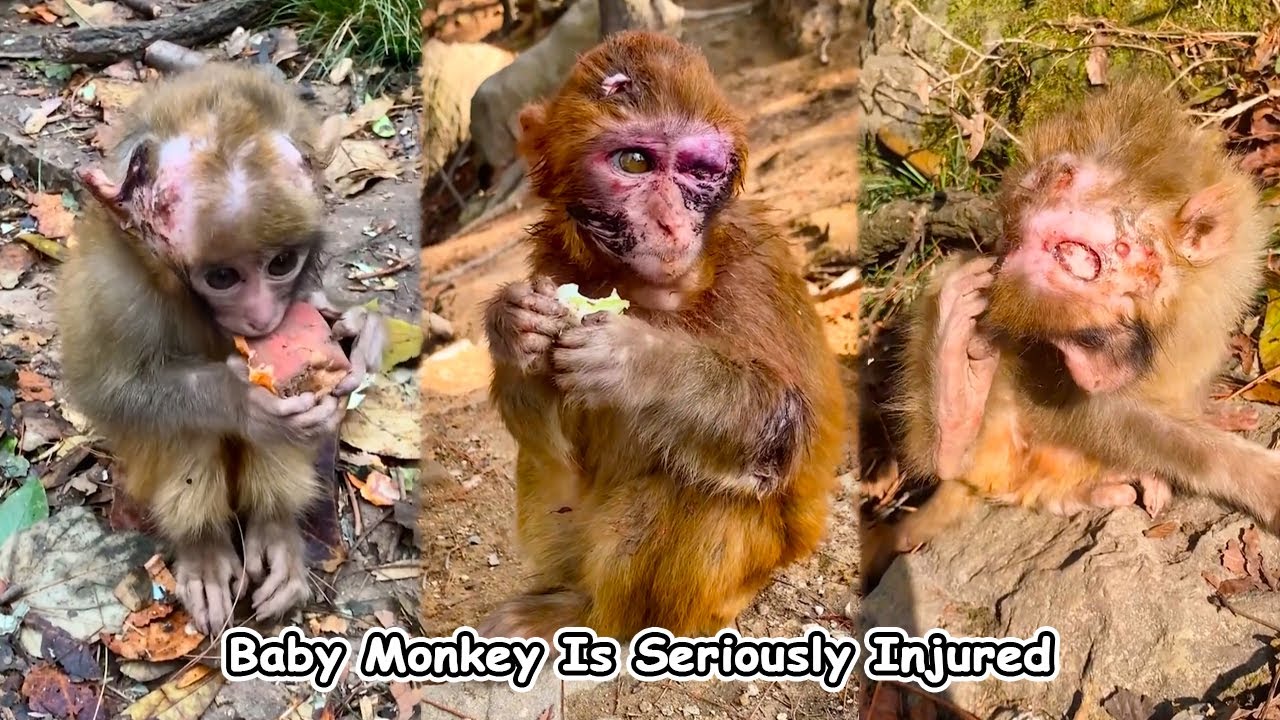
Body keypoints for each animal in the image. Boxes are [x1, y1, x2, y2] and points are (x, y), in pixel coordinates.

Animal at [56, 64, 387, 634]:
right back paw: (205, 546)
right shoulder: (114, 288)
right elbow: (103, 389)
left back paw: (275, 531)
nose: (259, 317)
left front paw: (354, 334)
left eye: (281, 264)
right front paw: (242, 401)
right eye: (223, 277)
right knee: (184, 426)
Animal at [478, 30, 848, 641]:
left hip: (740, 579)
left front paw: (639, 361)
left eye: (699, 169)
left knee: (696, 485)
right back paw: (564, 599)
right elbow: (551, 442)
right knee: (547, 467)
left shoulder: (758, 269)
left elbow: (787, 425)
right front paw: (515, 326)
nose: (672, 224)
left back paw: (603, 622)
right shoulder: (553, 263)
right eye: (634, 161)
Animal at [860, 77, 1277, 587]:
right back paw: (956, 412)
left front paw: (1211, 416)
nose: (1089, 373)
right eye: (1058, 342)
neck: (1181, 308)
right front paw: (1258, 480)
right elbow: (1096, 413)